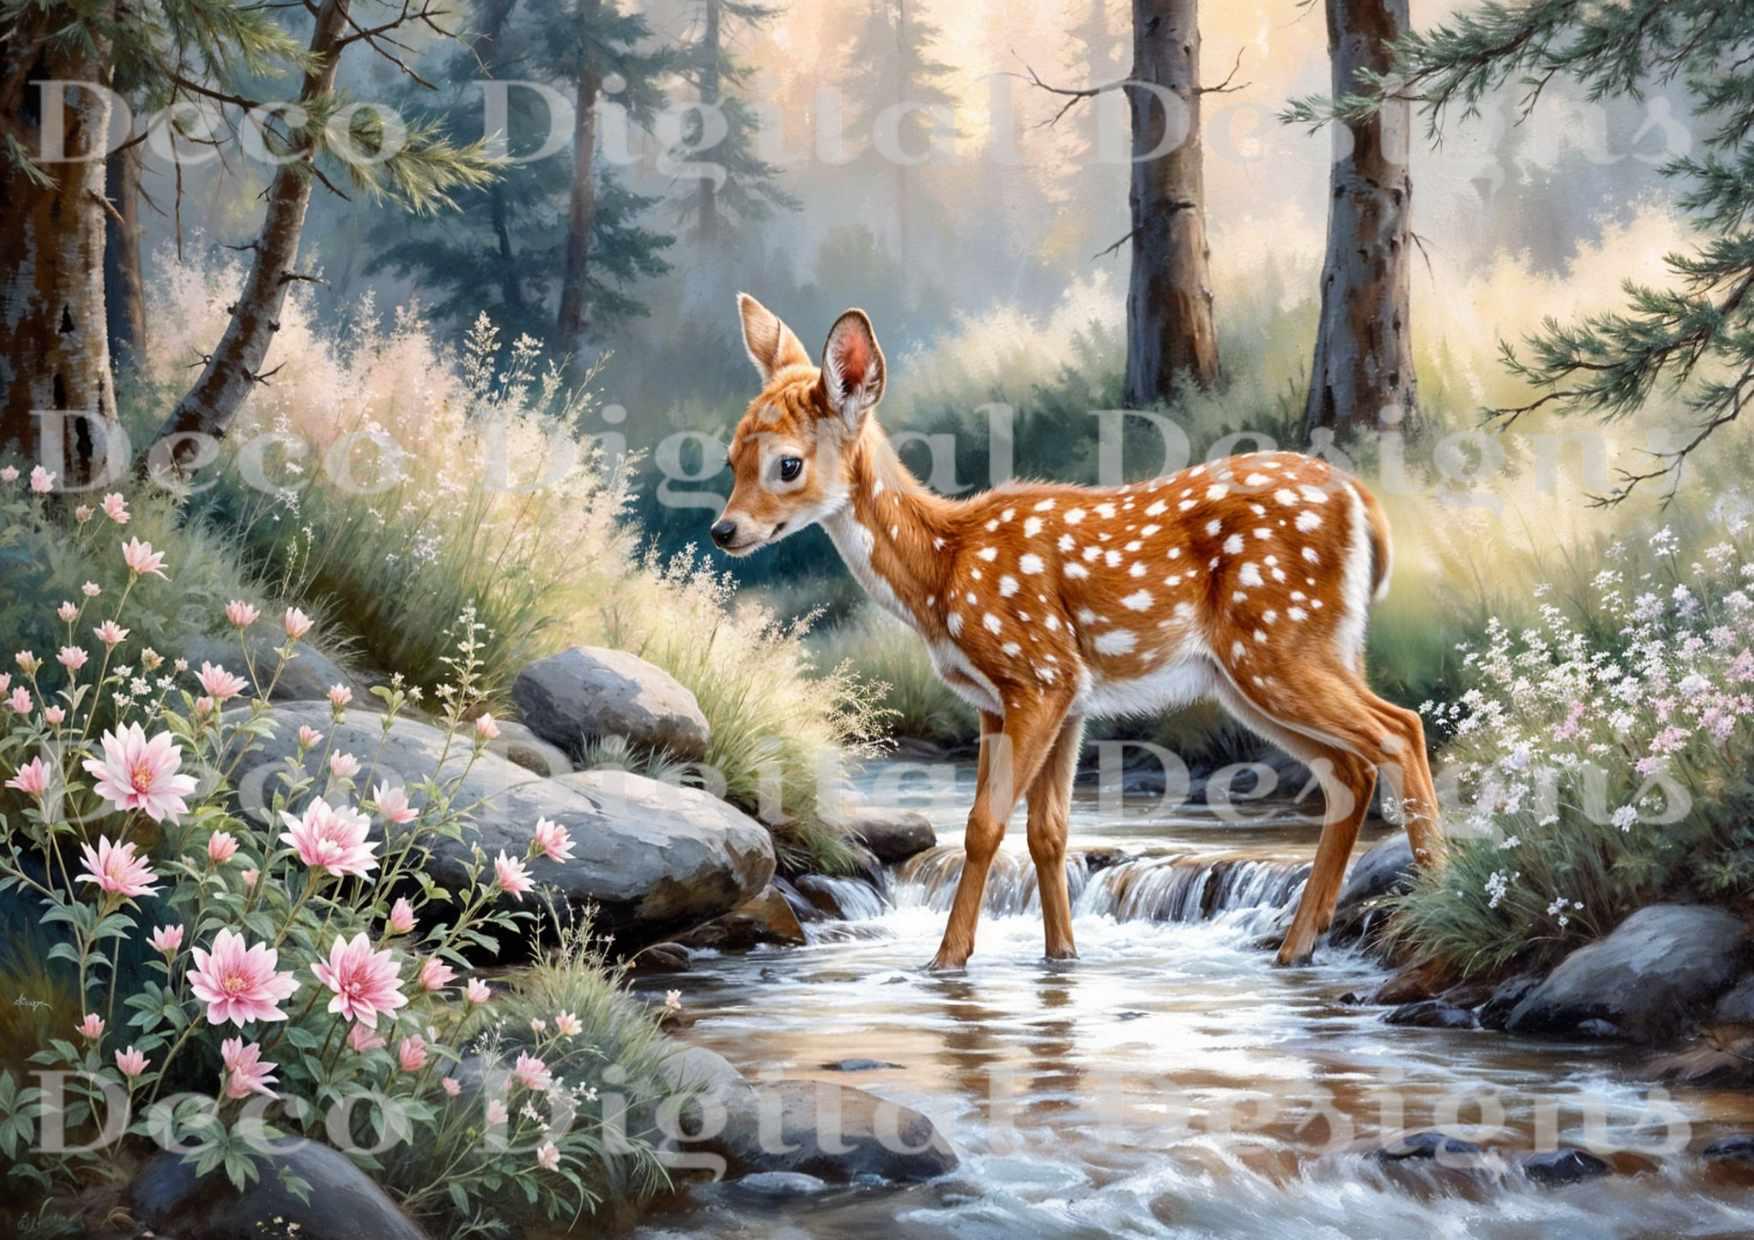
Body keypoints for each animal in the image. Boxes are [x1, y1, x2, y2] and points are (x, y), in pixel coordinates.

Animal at [711, 295, 1442, 970]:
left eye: (786, 465)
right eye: (730, 459)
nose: (724, 530)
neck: (943, 569)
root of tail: (1363, 503)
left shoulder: (1037, 672)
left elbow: (984, 826)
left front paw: (946, 960)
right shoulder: (1032, 700)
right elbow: (1048, 832)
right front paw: (1061, 955)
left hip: (1278, 639)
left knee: (1398, 730)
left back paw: (1432, 910)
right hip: (1265, 668)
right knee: (1348, 770)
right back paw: (1297, 947)